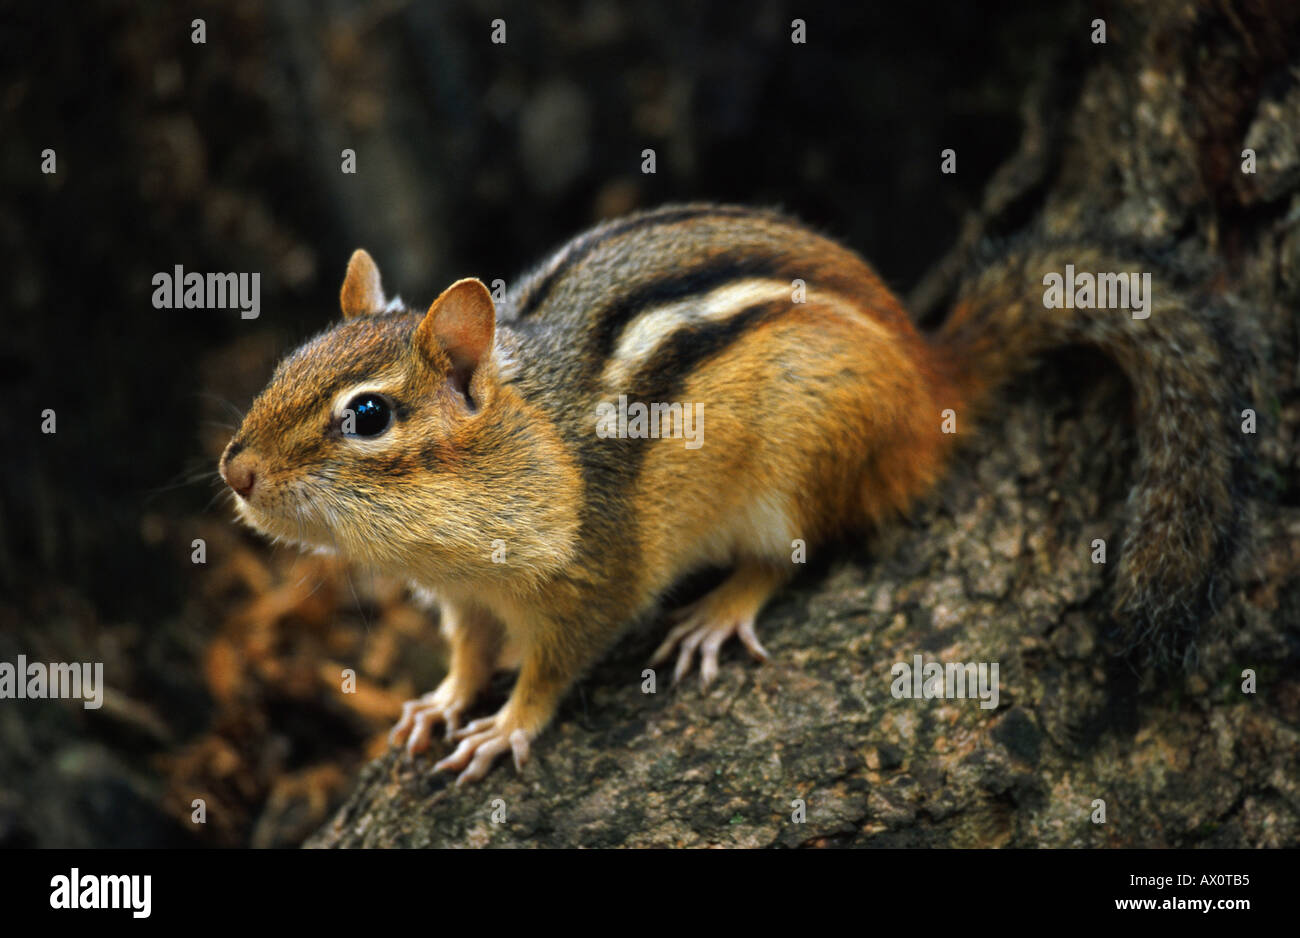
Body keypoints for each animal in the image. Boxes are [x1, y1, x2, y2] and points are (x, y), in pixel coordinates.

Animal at [219, 203, 1250, 784]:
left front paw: (505, 726)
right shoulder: (464, 600)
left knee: (795, 555)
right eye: (285, 364)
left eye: (368, 416)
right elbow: (471, 652)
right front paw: (440, 702)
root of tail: (929, 387)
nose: (234, 470)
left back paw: (721, 610)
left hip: (797, 464)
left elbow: (554, 665)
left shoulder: (597, 575)